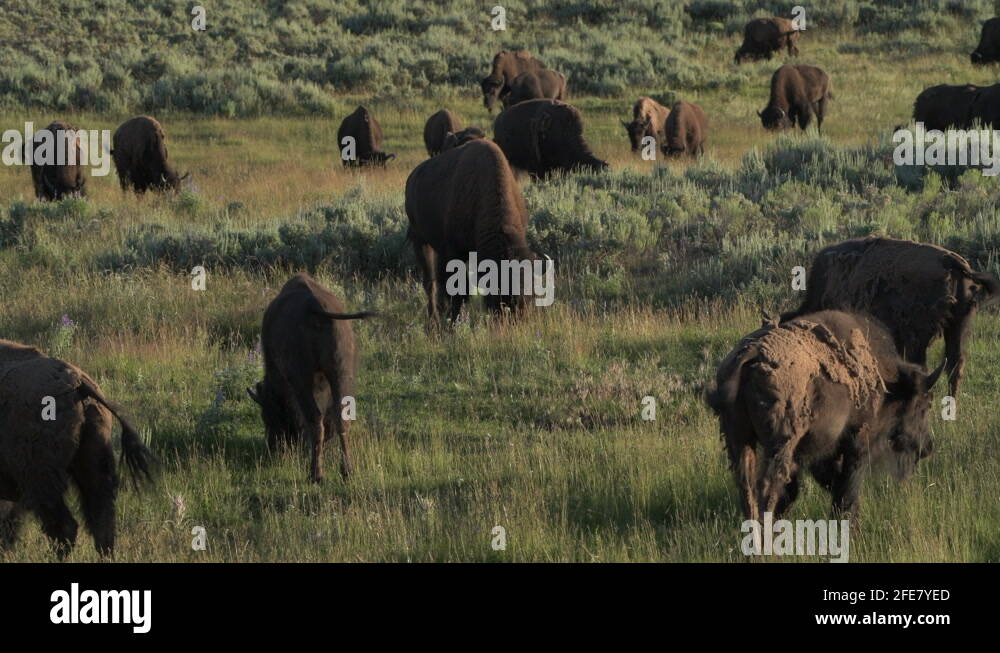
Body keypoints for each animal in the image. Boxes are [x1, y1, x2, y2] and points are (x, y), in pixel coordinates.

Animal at [248, 274, 374, 483]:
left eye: (266, 414)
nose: (273, 446)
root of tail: (317, 308)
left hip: (302, 380)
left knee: (315, 419)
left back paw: (315, 474)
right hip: (341, 373)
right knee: (342, 417)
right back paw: (346, 471)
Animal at [405, 139, 537, 326]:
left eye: (530, 294)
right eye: (499, 287)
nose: (514, 319)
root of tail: (413, 177)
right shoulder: (454, 252)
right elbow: (458, 291)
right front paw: (453, 323)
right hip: (420, 241)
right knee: (430, 283)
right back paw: (434, 320)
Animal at [708, 310, 943, 521]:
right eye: (925, 405)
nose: (928, 447)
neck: (887, 383)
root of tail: (751, 354)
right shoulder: (856, 442)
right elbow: (847, 488)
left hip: (740, 441)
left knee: (748, 490)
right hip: (780, 444)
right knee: (768, 489)